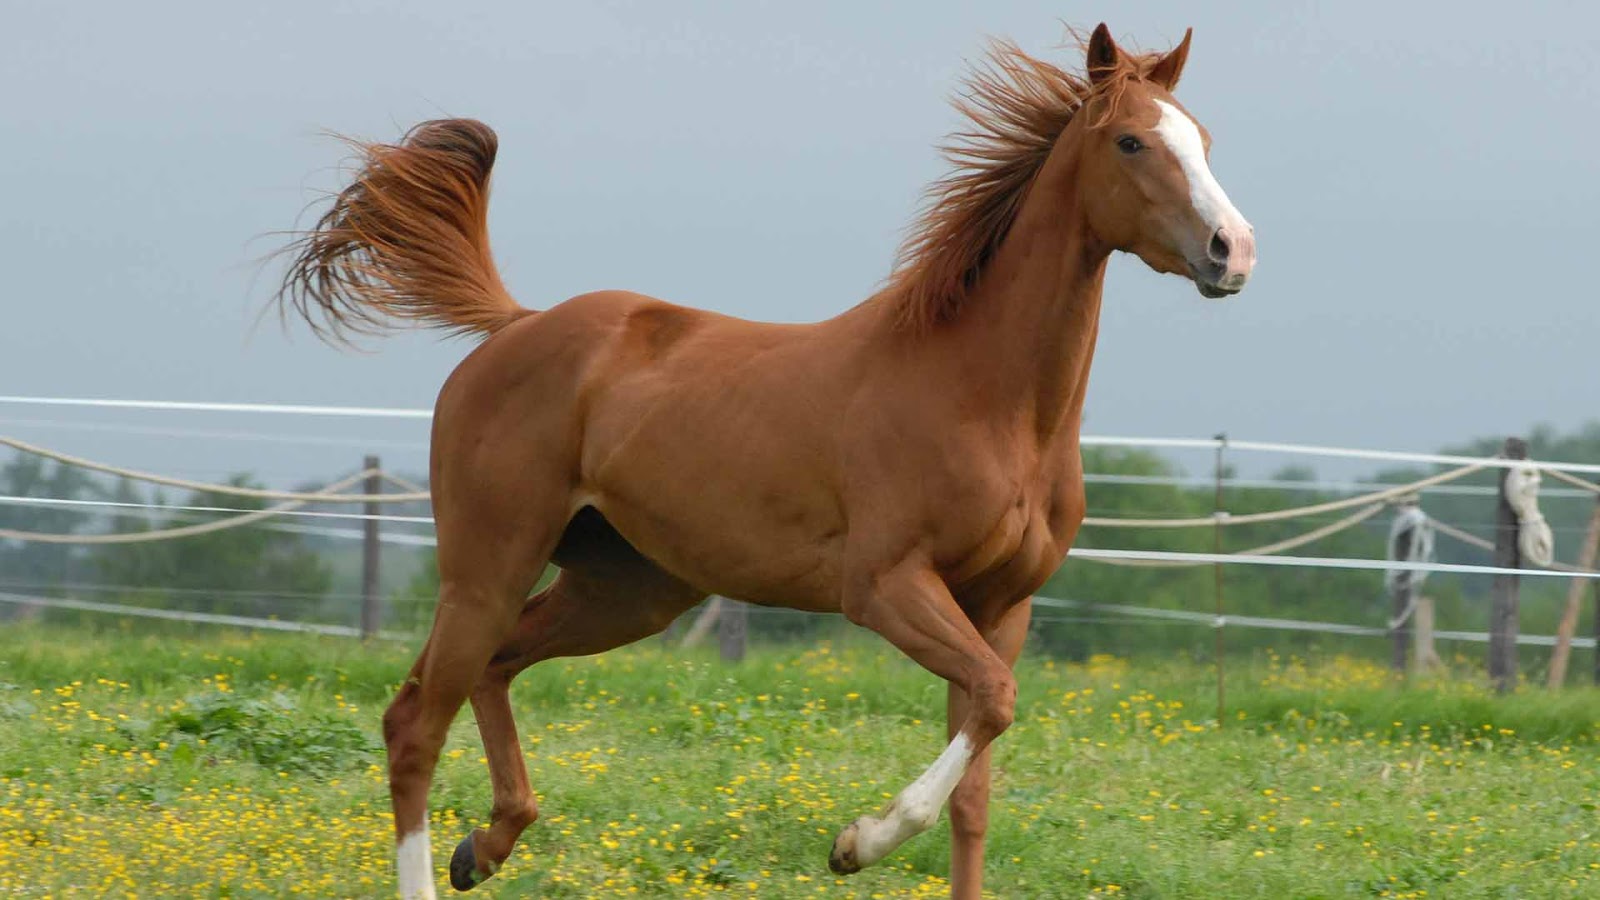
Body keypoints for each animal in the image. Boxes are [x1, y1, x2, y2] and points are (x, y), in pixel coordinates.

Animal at [276, 22, 1254, 900]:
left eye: (1203, 140)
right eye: (1131, 141)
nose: (1233, 251)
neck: (987, 399)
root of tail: (515, 326)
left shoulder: (1001, 606)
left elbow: (977, 779)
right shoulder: (885, 586)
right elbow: (993, 703)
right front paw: (855, 843)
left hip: (625, 588)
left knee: (492, 671)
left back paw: (485, 847)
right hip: (488, 567)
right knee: (414, 721)